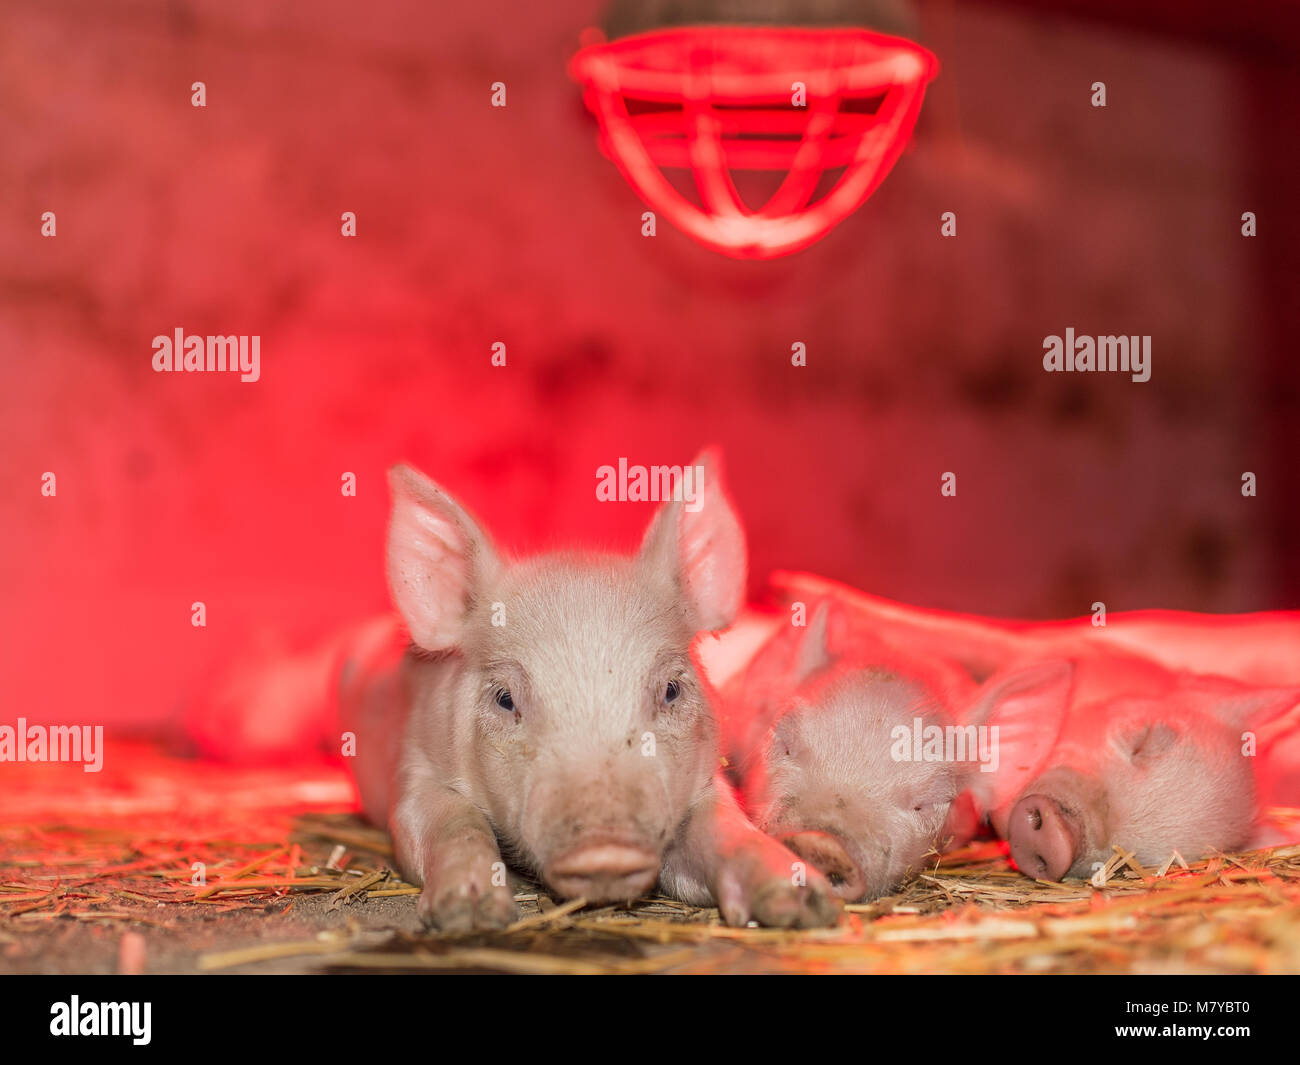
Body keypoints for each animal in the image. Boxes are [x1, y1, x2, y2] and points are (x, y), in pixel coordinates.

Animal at [338, 453, 840, 931]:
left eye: (671, 690)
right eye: (505, 698)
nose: (605, 850)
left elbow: (725, 827)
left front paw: (808, 905)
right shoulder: (414, 771)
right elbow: (448, 823)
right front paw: (469, 913)